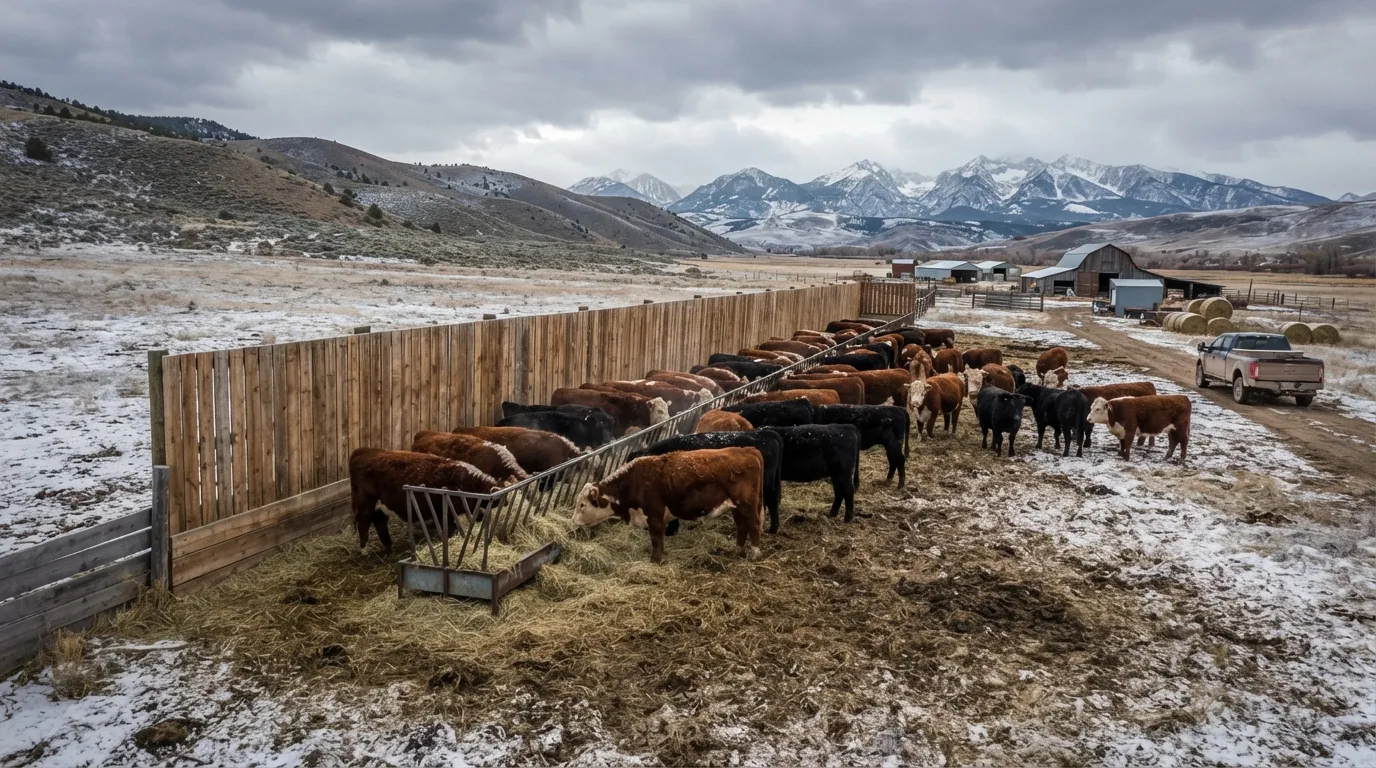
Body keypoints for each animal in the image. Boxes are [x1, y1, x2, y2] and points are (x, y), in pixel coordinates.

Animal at [348, 448, 500, 552]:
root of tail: (364, 451)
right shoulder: (445, 514)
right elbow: (450, 530)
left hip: (380, 506)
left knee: (379, 522)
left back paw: (389, 547)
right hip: (365, 504)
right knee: (364, 523)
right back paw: (364, 550)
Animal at [573, 447, 765, 563]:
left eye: (582, 505)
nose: (573, 521)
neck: (634, 481)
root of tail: (747, 450)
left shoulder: (654, 514)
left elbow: (656, 538)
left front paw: (655, 560)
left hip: (747, 505)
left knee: (754, 525)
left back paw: (755, 553)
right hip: (736, 507)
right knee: (742, 526)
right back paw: (738, 550)